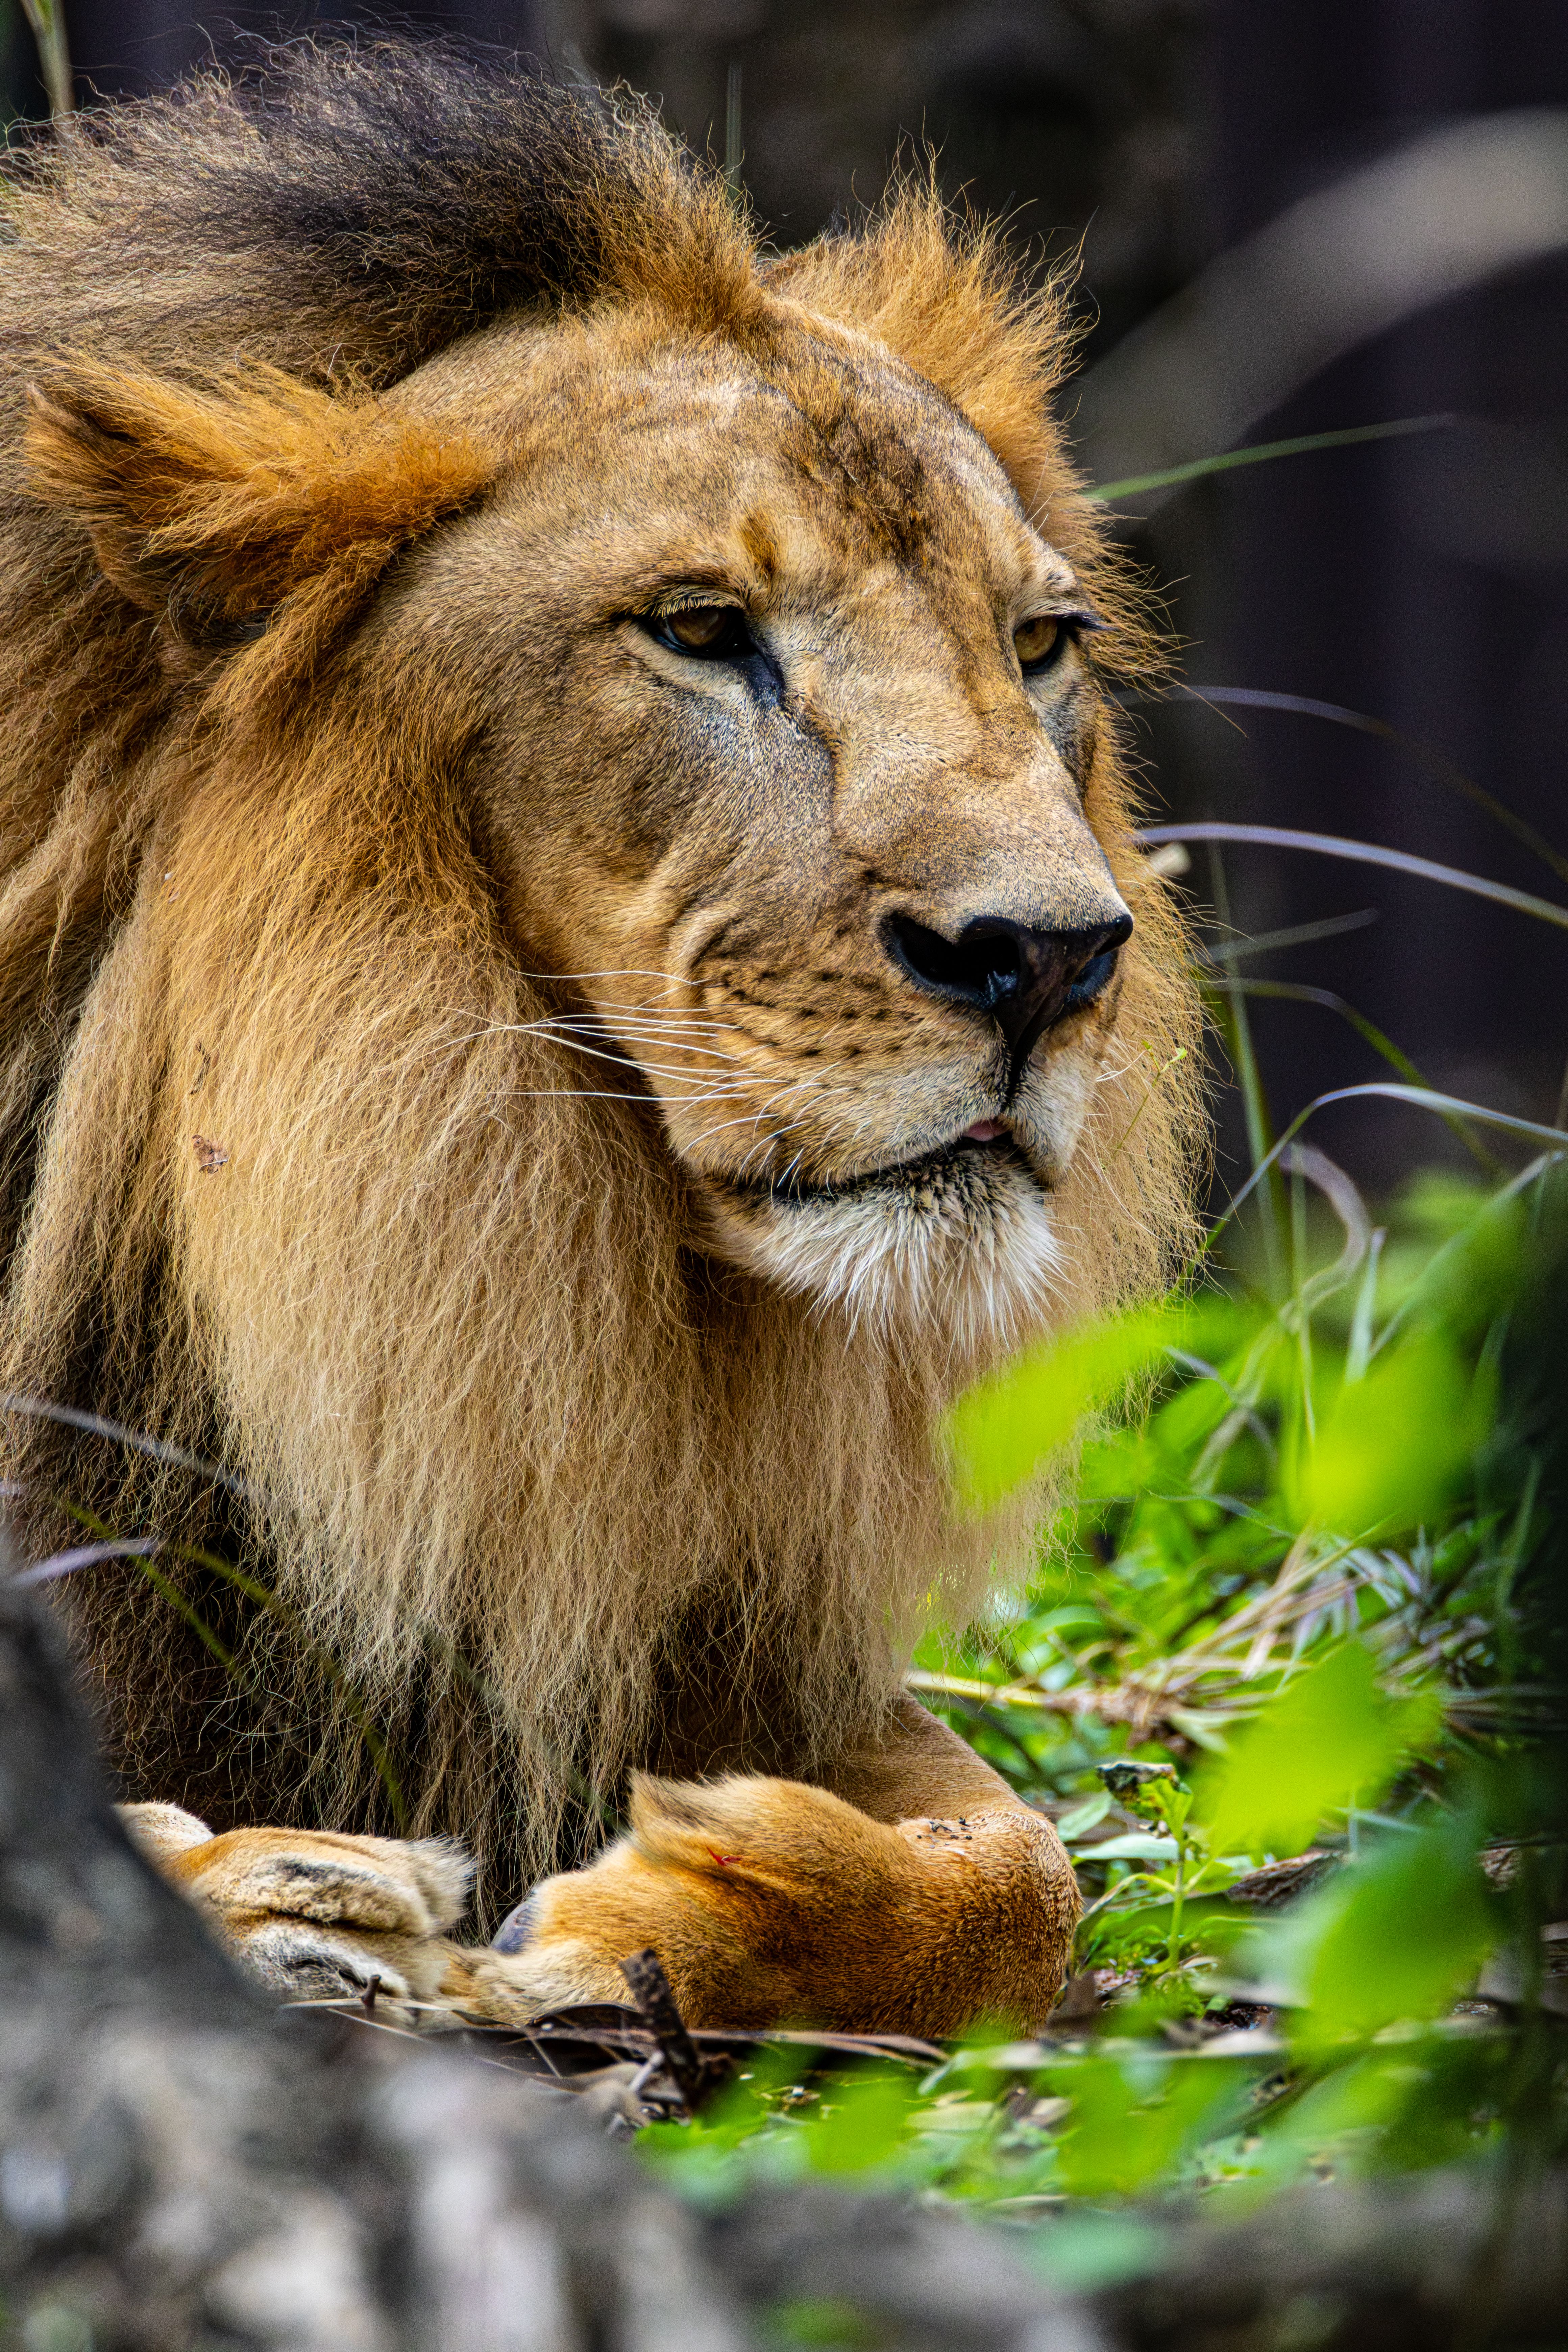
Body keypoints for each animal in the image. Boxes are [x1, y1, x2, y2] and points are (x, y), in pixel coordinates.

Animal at [0, 41, 1200, 2039]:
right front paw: (292, 1881)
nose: (1051, 957)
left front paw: (686, 1892)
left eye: (1039, 645)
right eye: (701, 631)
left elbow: (1028, 1879)